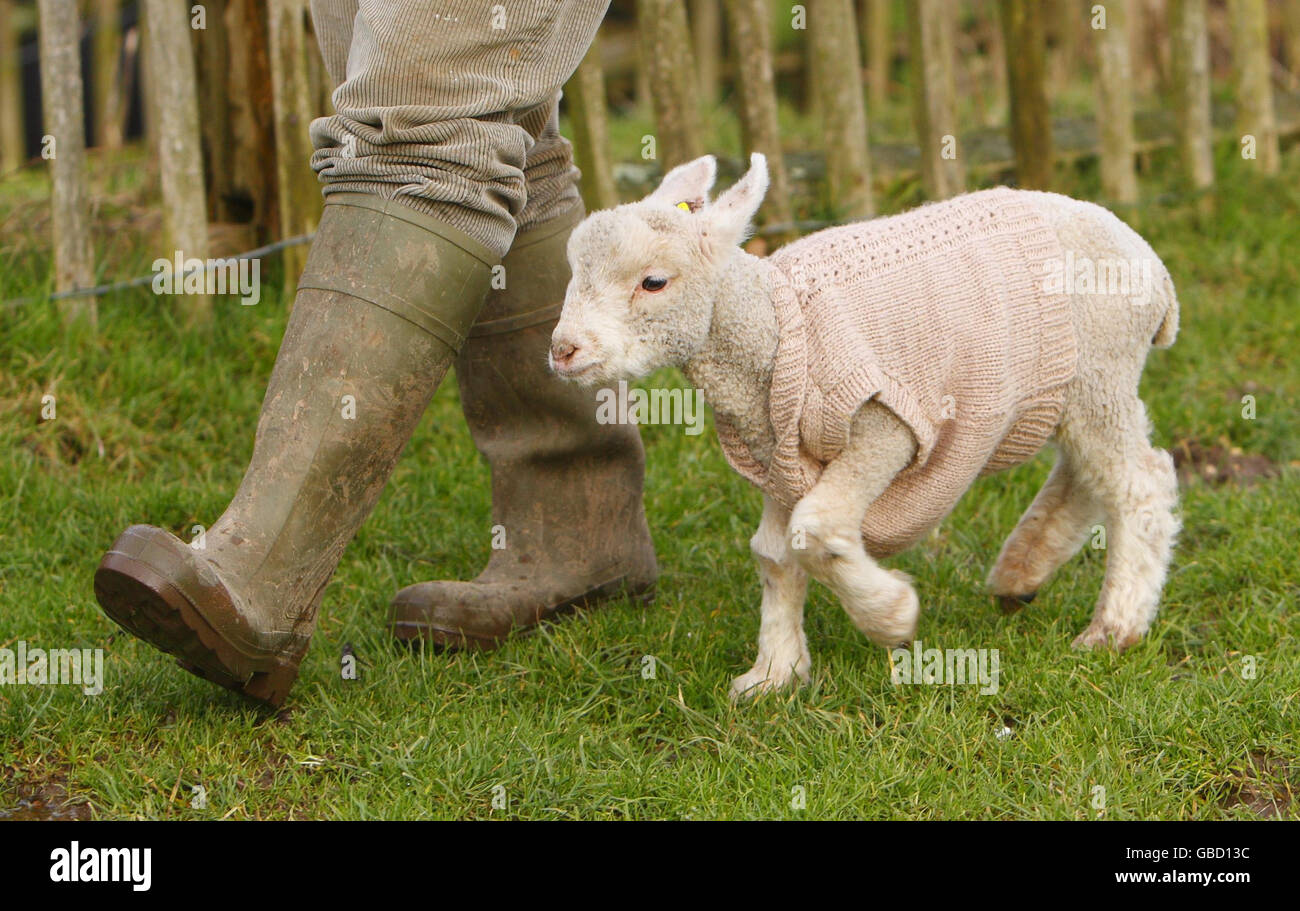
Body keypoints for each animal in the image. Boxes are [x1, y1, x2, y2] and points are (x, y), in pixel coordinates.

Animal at [549, 153, 1180, 700]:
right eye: (574, 272)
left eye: (653, 282)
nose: (562, 350)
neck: (774, 330)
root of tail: (1153, 264)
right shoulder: (781, 454)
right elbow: (773, 554)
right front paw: (774, 674)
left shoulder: (885, 422)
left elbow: (816, 531)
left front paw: (891, 617)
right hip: (1080, 389)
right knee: (1087, 474)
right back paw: (1021, 573)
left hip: (1100, 367)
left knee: (1139, 482)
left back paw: (1113, 628)